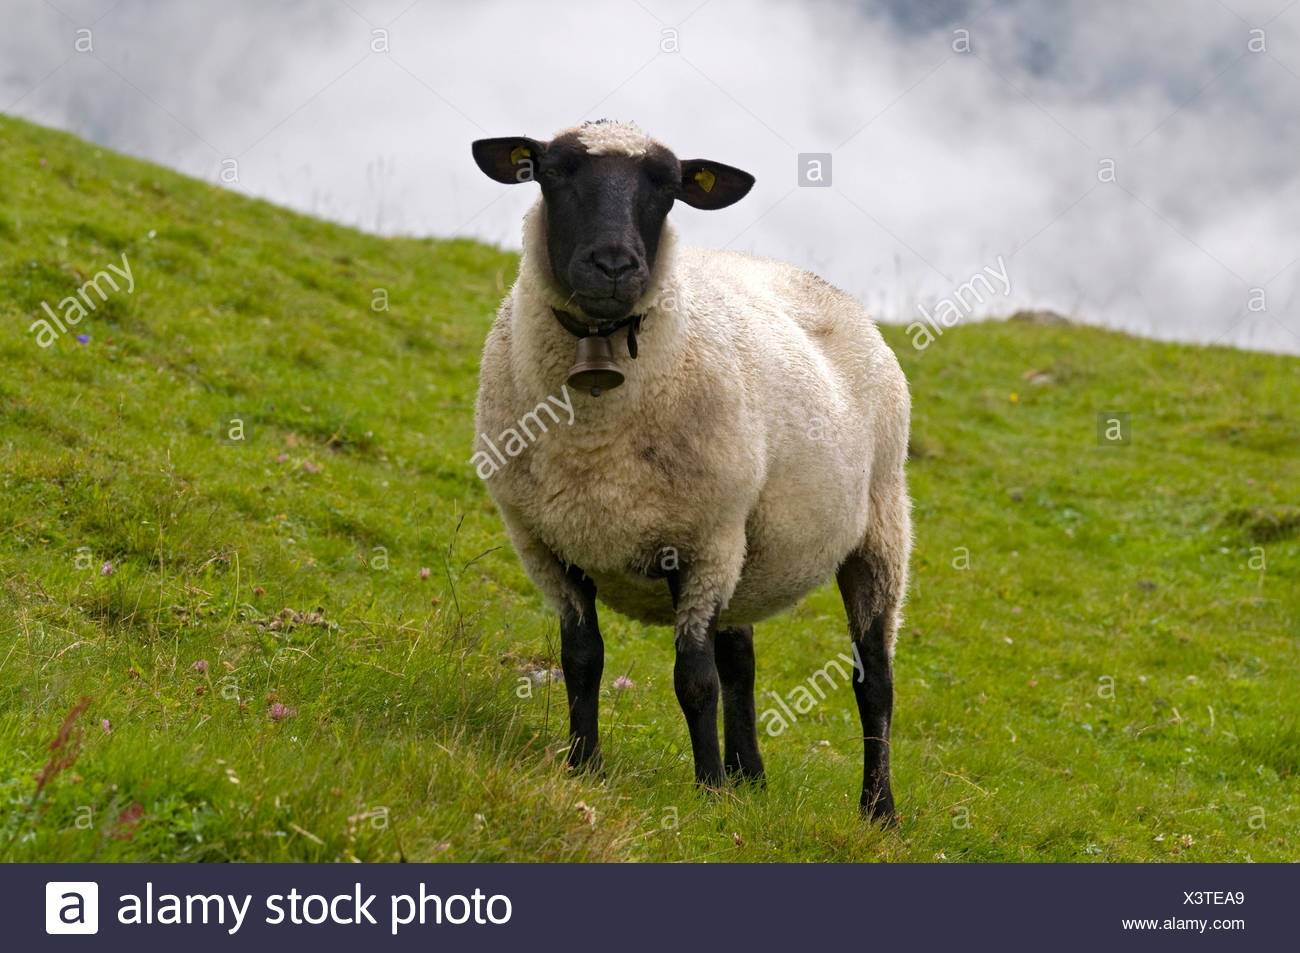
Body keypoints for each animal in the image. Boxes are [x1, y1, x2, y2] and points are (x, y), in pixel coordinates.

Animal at [470, 120, 911, 822]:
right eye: (550, 172)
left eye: (669, 186)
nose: (615, 266)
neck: (595, 435)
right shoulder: (546, 545)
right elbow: (582, 659)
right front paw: (583, 765)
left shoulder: (704, 544)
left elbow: (694, 679)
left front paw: (708, 793)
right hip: (751, 551)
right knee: (742, 658)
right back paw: (751, 777)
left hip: (879, 530)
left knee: (875, 681)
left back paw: (878, 811)